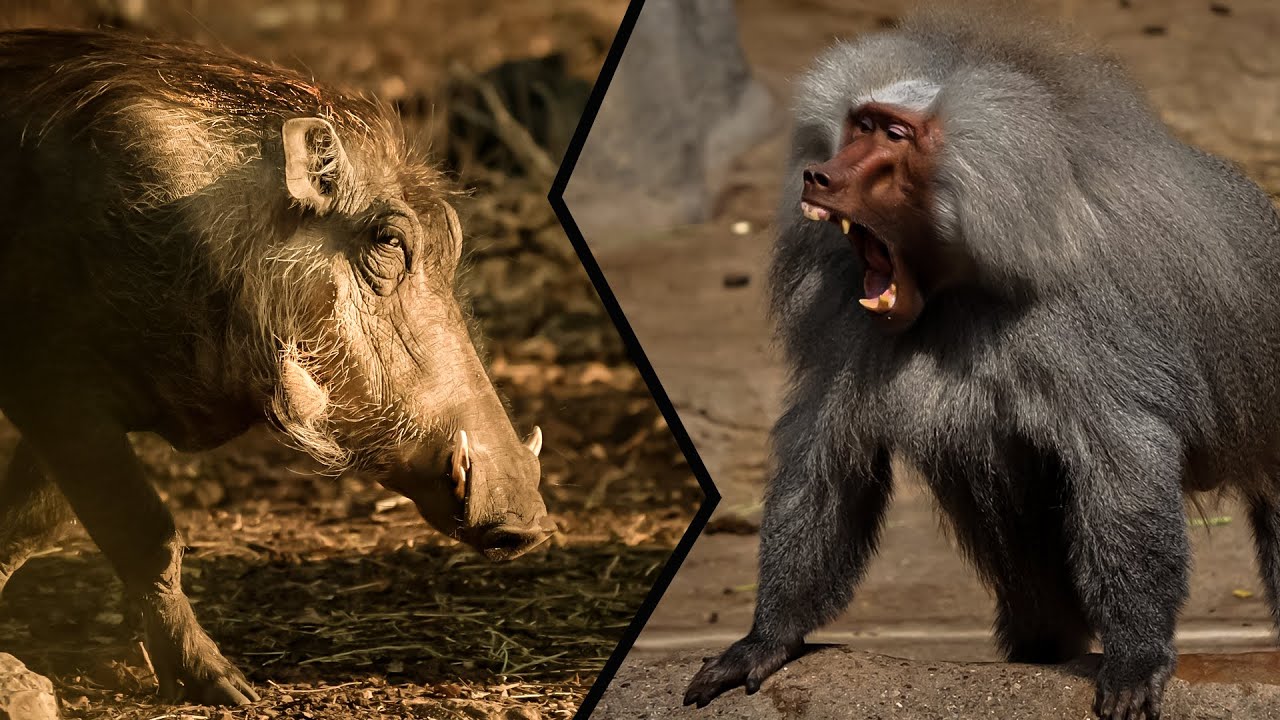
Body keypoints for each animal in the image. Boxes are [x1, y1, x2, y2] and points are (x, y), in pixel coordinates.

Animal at [682, 7, 1280, 720]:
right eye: (859, 124)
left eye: (894, 134)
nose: (819, 175)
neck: (965, 277)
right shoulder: (849, 323)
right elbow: (828, 458)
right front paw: (766, 640)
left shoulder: (1087, 315)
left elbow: (1123, 463)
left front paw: (1136, 658)